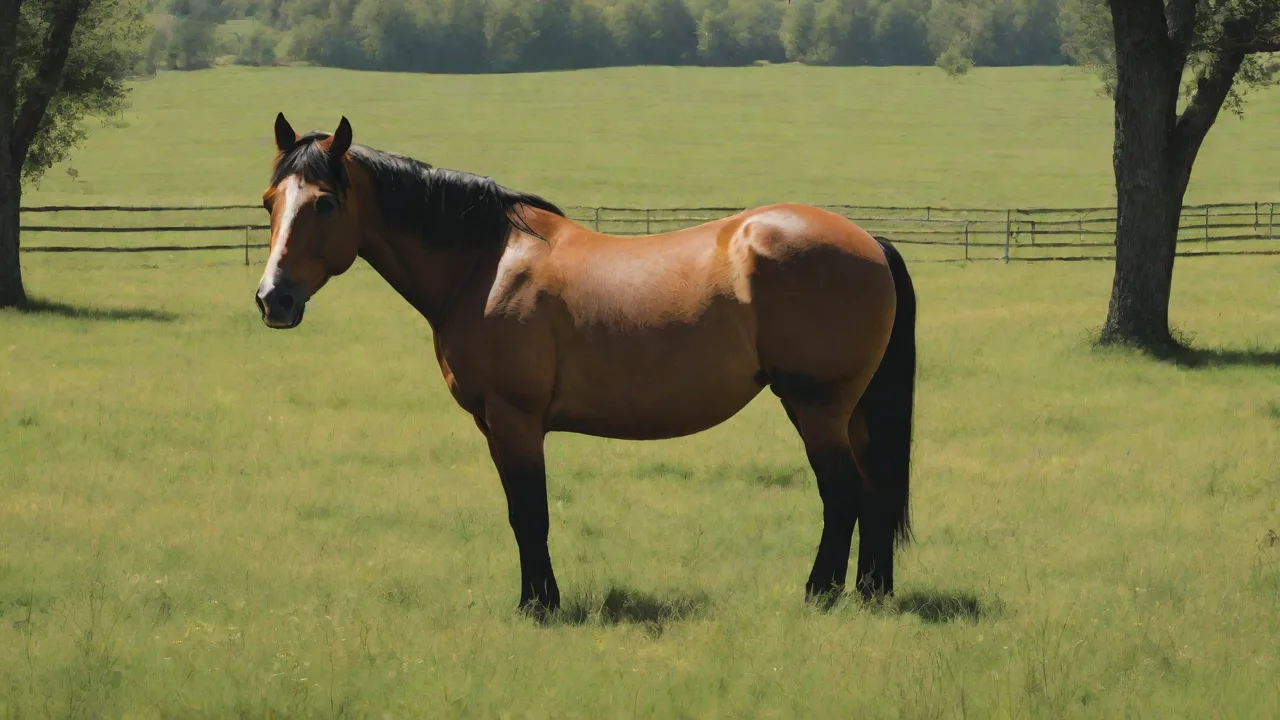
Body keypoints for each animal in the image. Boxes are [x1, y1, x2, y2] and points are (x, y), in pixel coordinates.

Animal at [255, 113, 919, 617]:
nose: (273, 299)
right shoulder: (495, 426)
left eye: (324, 204)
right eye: (269, 203)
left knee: (843, 492)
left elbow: (529, 513)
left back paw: (819, 594)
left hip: (816, 406)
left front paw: (538, 606)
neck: (485, 265)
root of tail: (871, 242)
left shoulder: (515, 419)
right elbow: (523, 512)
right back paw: (870, 593)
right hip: (853, 412)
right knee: (875, 492)